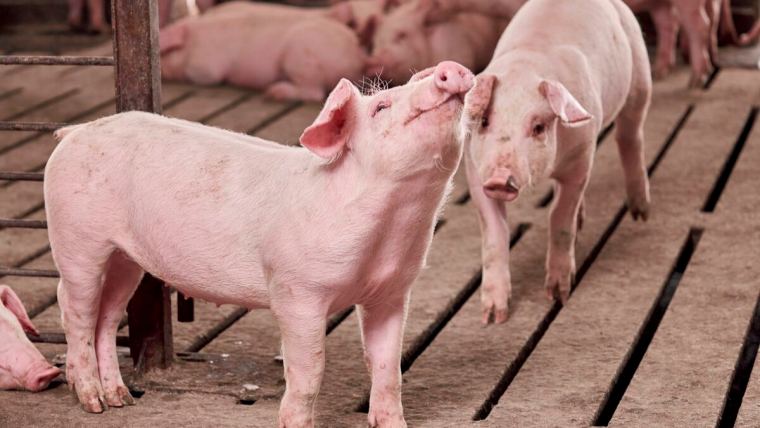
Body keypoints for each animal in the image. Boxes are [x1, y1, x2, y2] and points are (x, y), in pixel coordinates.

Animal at [45, 61, 474, 426]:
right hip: (76, 238)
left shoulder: (391, 292)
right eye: (381, 106)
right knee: (75, 309)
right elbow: (310, 370)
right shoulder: (296, 290)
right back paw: (94, 403)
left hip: (126, 258)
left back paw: (119, 398)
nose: (450, 68)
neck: (389, 229)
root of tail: (76, 131)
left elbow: (388, 368)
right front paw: (294, 423)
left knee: (106, 316)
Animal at [159, 1, 368, 101]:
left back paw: (274, 93)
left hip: (300, 58)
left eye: (165, 52)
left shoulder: (204, 66)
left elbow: (205, 77)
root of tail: (358, 55)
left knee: (313, 93)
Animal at [462, 0, 651, 323]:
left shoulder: (581, 158)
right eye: (485, 121)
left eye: (538, 127)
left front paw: (557, 295)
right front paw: (493, 317)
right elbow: (494, 235)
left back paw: (640, 213)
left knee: (631, 137)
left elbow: (560, 218)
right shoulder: (476, 172)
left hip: (639, 79)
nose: (500, 178)